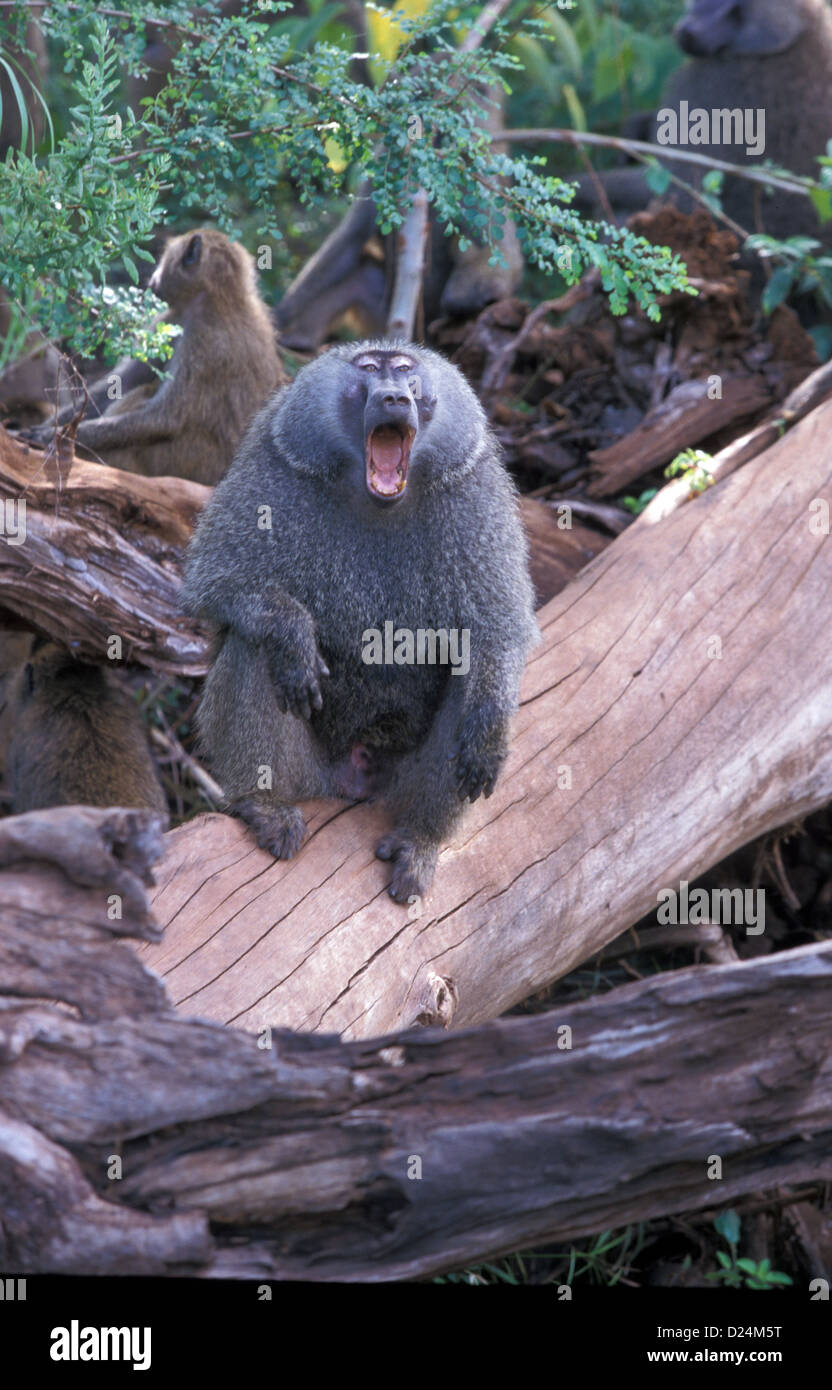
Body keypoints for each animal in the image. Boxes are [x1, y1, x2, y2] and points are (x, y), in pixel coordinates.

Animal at [20, 229, 285, 484]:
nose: (153, 279)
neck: (221, 297)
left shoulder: (201, 337)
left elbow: (163, 419)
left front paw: (47, 437)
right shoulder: (170, 320)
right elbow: (114, 388)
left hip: (184, 463)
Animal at [181, 340, 538, 902]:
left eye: (407, 373)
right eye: (369, 370)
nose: (393, 397)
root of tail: (356, 777)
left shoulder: (476, 486)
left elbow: (497, 627)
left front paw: (489, 731)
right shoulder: (271, 461)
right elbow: (216, 584)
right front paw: (293, 636)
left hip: (400, 780)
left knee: (467, 676)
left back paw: (420, 839)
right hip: (309, 775)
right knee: (252, 645)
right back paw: (264, 807)